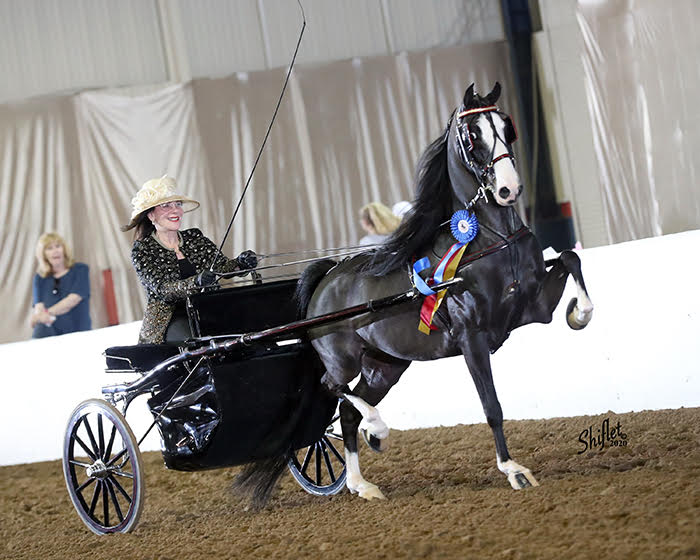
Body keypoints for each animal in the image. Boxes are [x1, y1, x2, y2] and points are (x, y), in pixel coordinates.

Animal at [295, 82, 594, 500]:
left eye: (507, 126)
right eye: (472, 136)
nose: (509, 189)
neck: (493, 239)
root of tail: (327, 277)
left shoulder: (534, 307)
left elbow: (569, 257)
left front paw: (580, 313)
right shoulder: (472, 337)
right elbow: (491, 406)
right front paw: (513, 470)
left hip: (385, 367)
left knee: (350, 412)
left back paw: (362, 482)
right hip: (344, 361)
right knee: (332, 389)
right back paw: (377, 429)